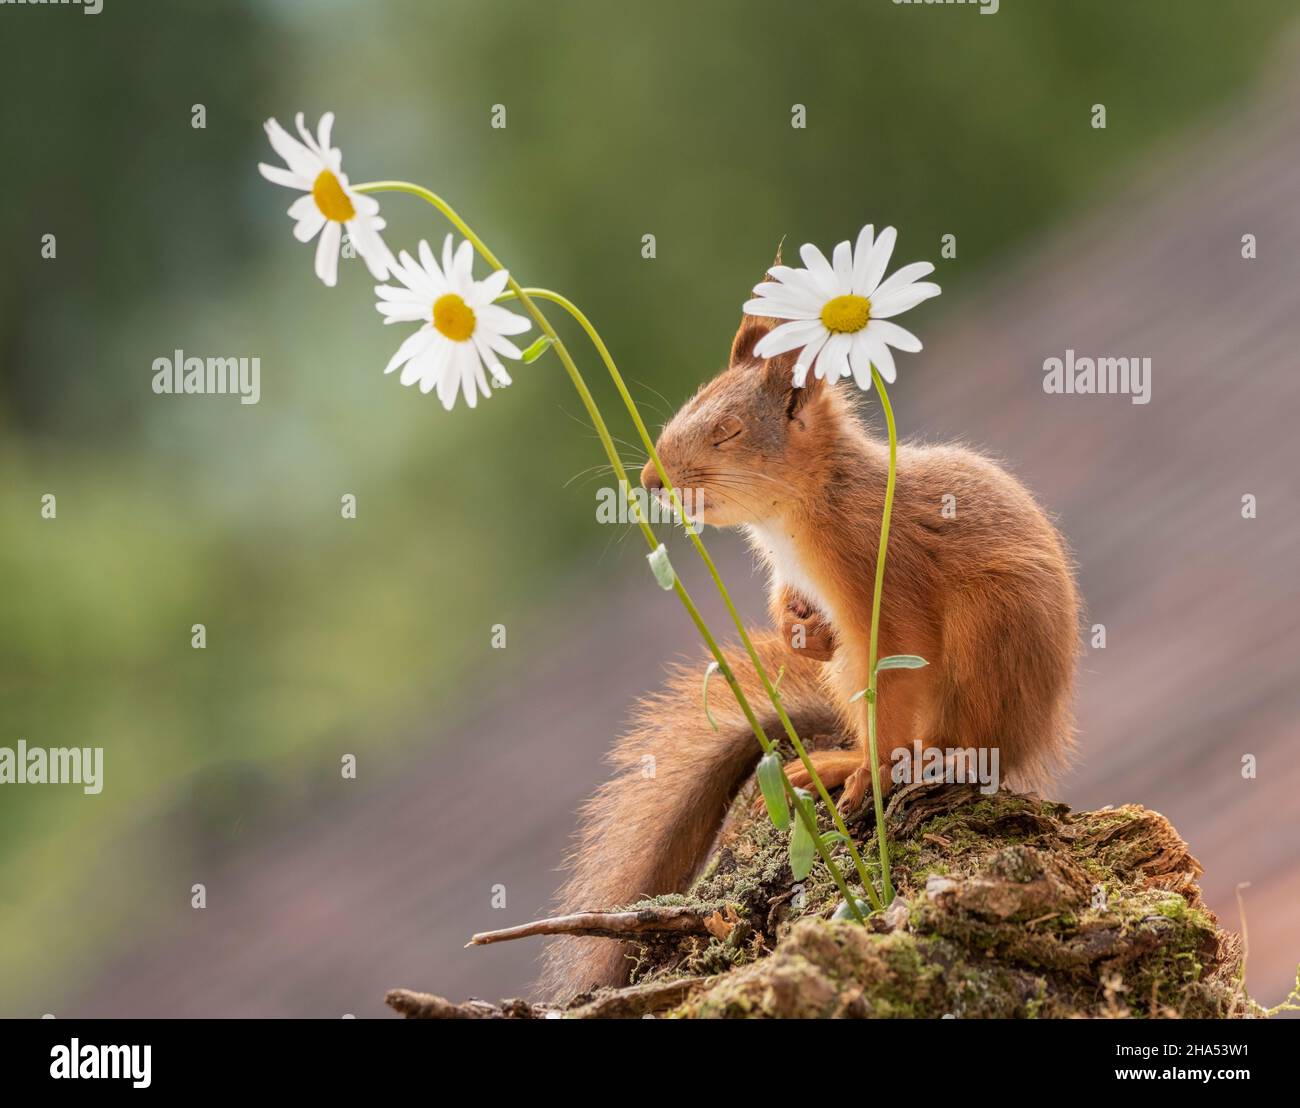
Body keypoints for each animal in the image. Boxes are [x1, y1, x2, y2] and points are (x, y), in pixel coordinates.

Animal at [539, 292, 1081, 1000]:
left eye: (729, 431)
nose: (651, 480)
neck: (803, 508)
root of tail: (1031, 739)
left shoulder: (881, 576)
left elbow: (897, 664)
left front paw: (874, 775)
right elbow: (795, 614)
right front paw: (800, 628)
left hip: (987, 645)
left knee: (950, 743)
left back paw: (896, 763)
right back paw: (833, 761)